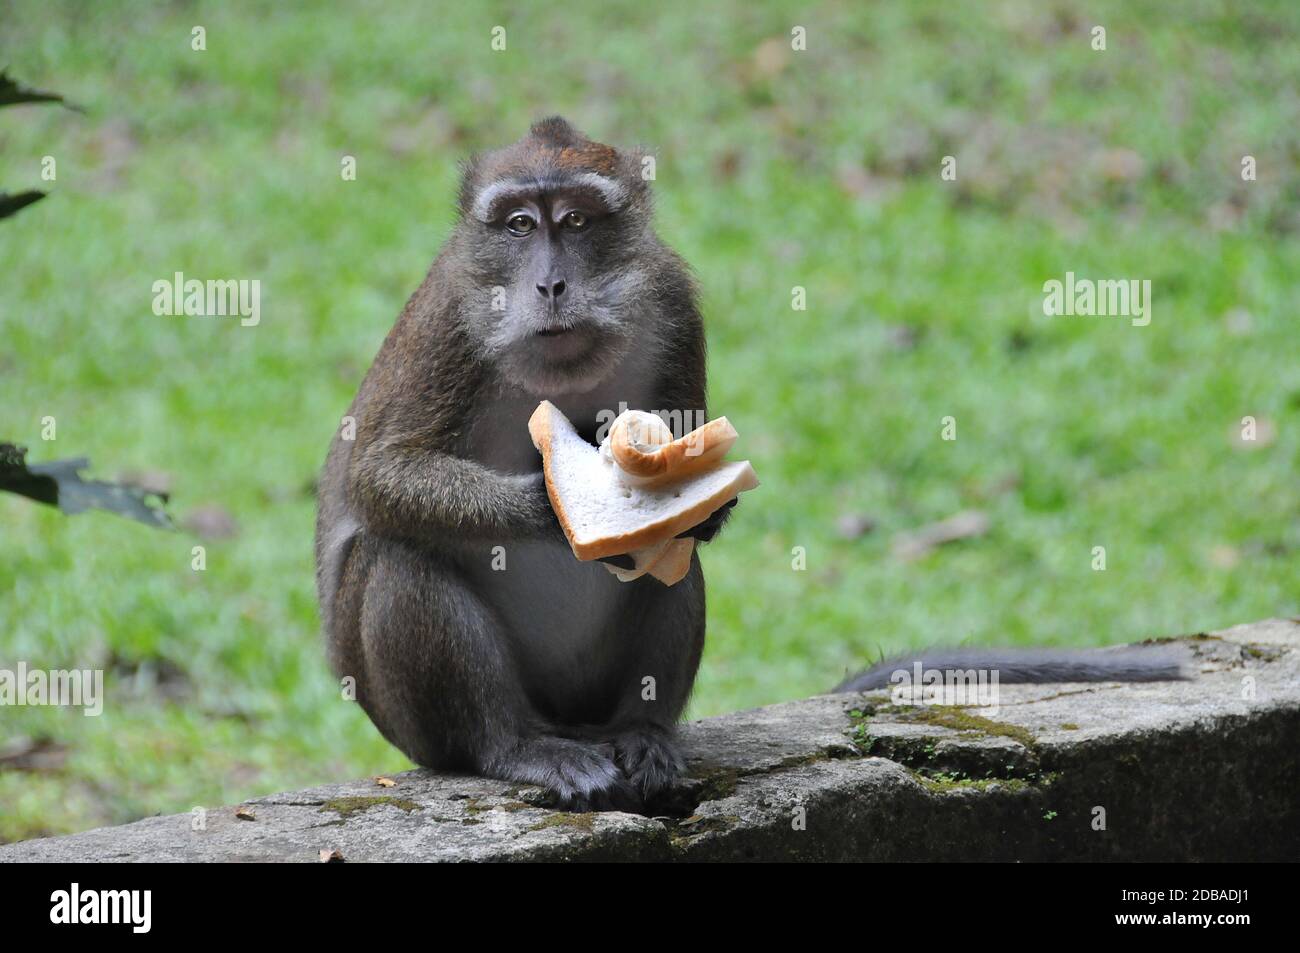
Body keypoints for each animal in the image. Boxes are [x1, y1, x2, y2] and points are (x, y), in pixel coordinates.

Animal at [316, 117, 1185, 814]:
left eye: (577, 220)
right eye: (520, 224)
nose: (551, 281)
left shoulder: (673, 297)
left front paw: (694, 500)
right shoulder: (450, 317)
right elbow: (381, 475)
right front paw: (550, 507)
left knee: (676, 571)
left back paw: (642, 731)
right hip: (417, 728)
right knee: (398, 553)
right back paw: (512, 745)